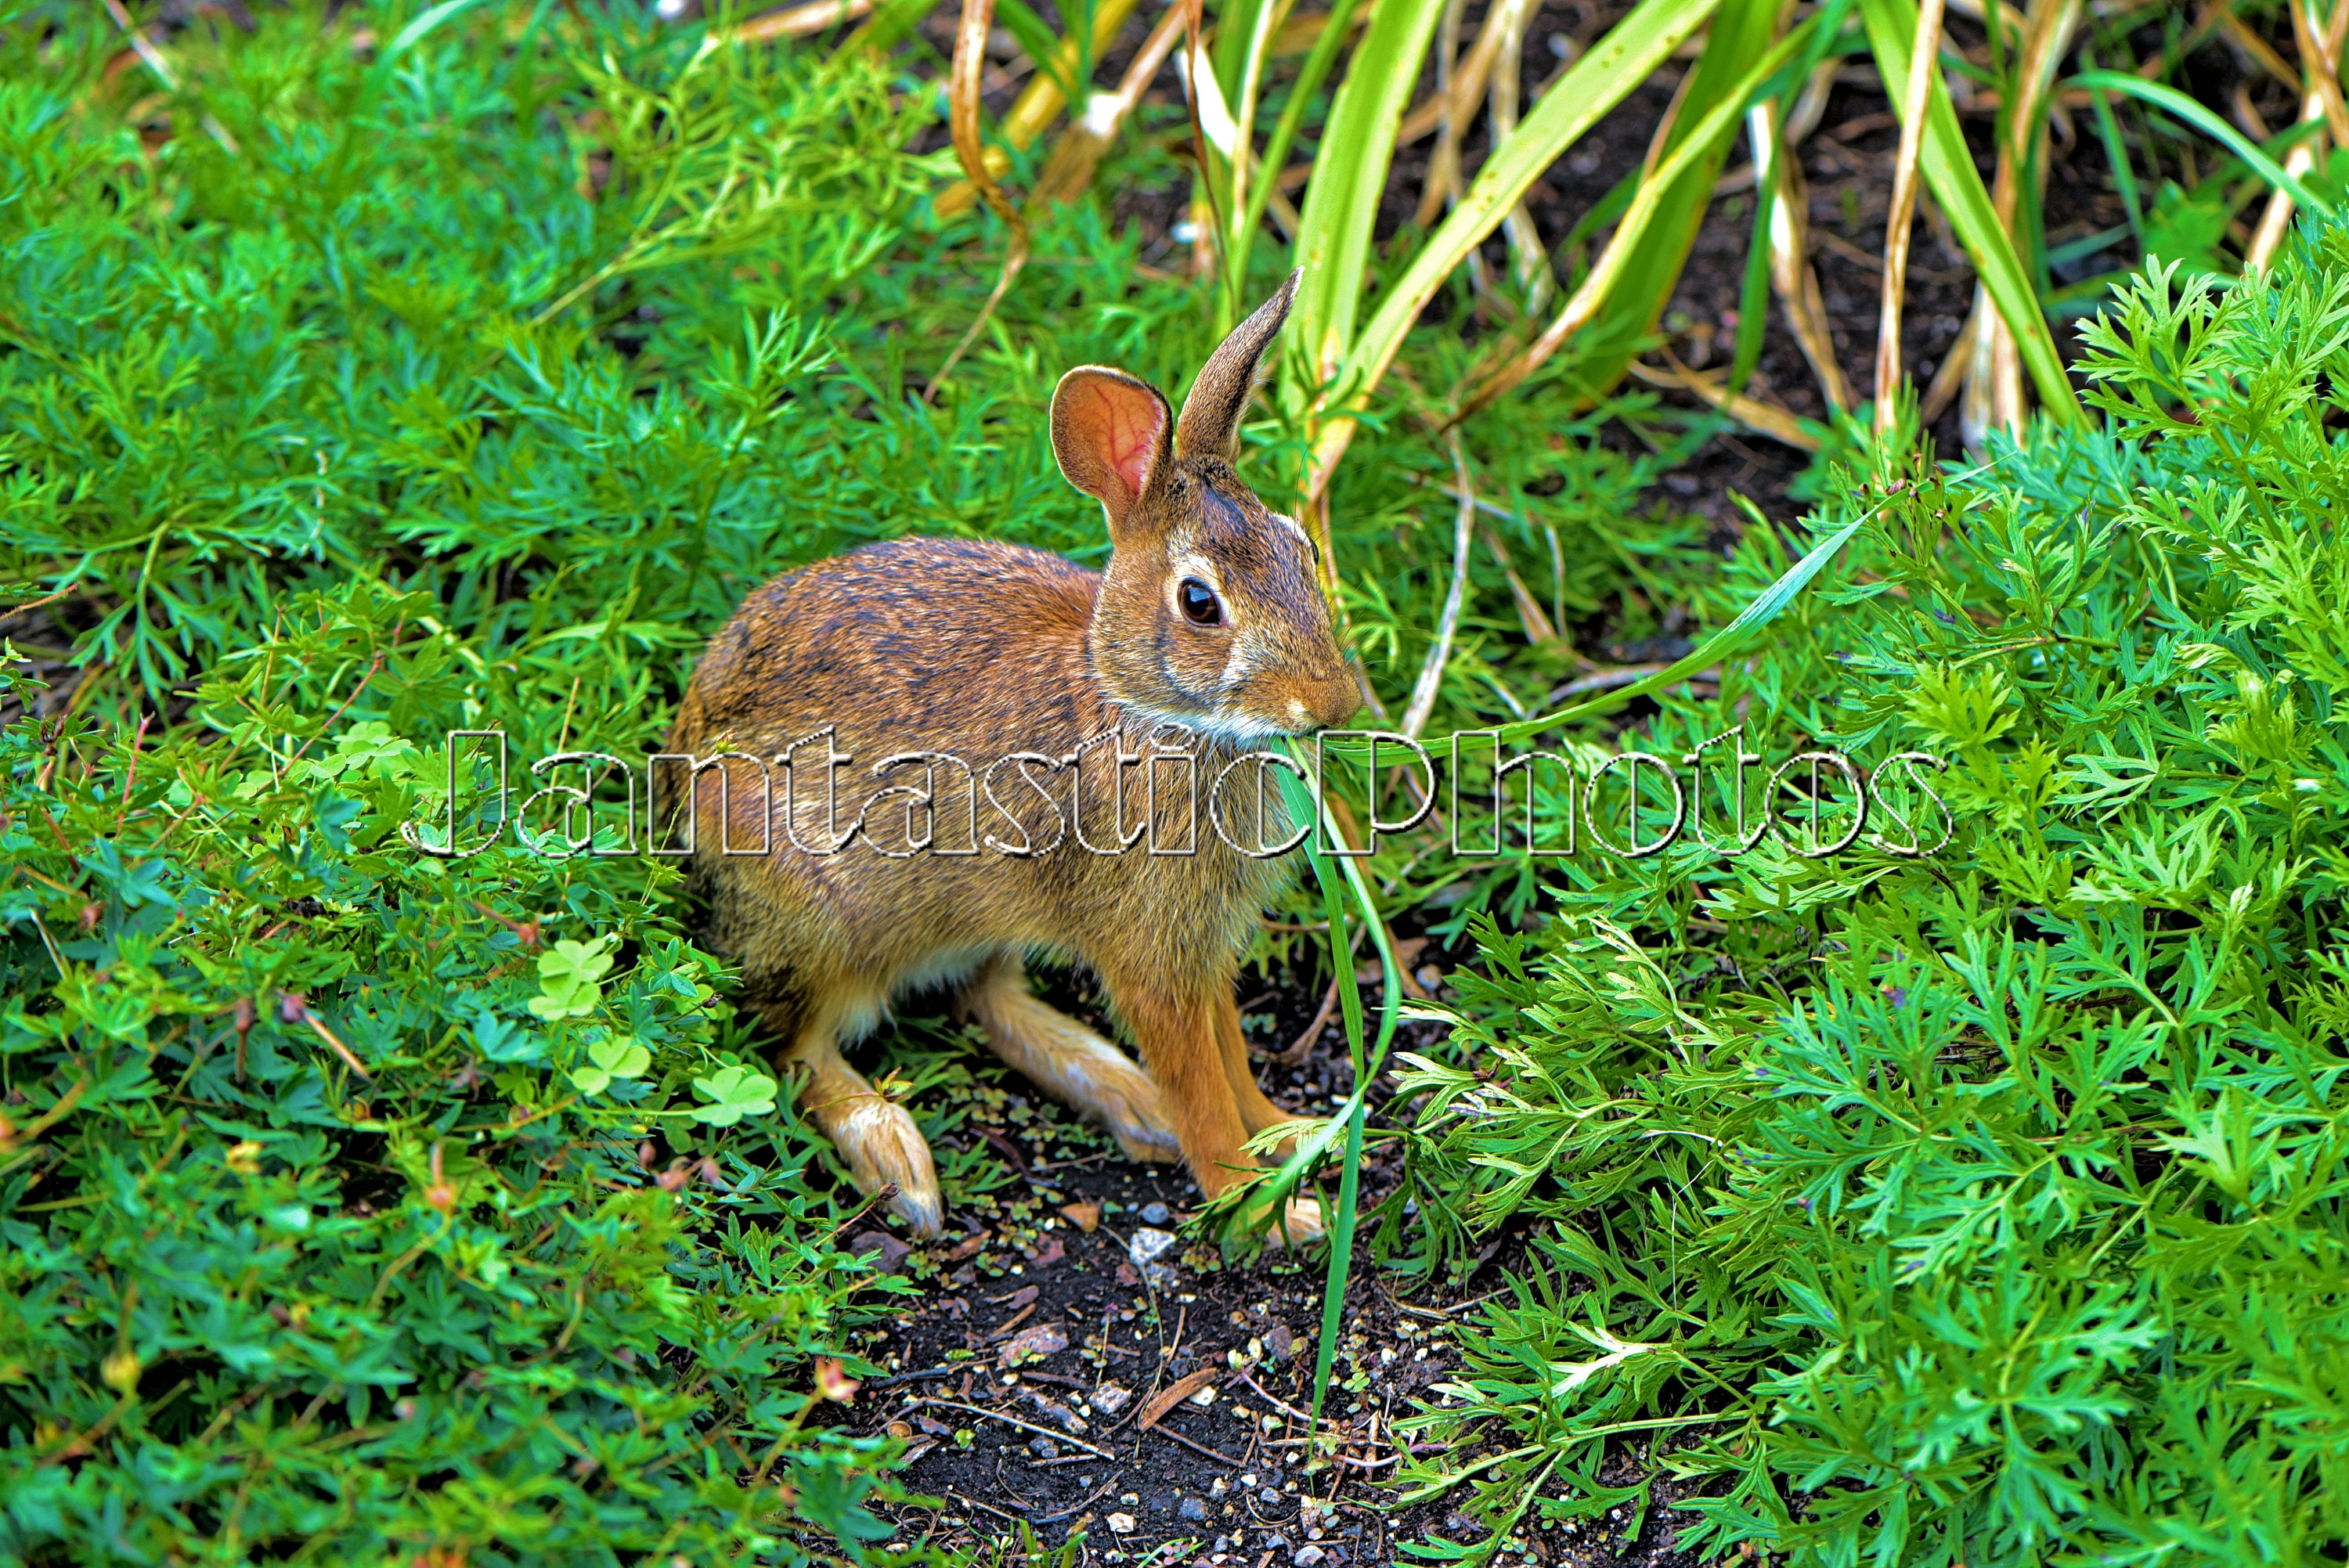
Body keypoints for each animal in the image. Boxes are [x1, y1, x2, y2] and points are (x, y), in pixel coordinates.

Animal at [662, 271, 1357, 1241]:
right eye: (1199, 602)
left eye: (1304, 547)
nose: (1335, 704)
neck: (1150, 714)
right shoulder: (1153, 959)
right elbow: (1201, 1083)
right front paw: (1259, 1202)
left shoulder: (1201, 950)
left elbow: (1230, 1058)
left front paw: (1283, 1134)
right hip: (819, 918)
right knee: (797, 1047)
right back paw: (898, 1156)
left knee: (986, 999)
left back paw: (1124, 1095)